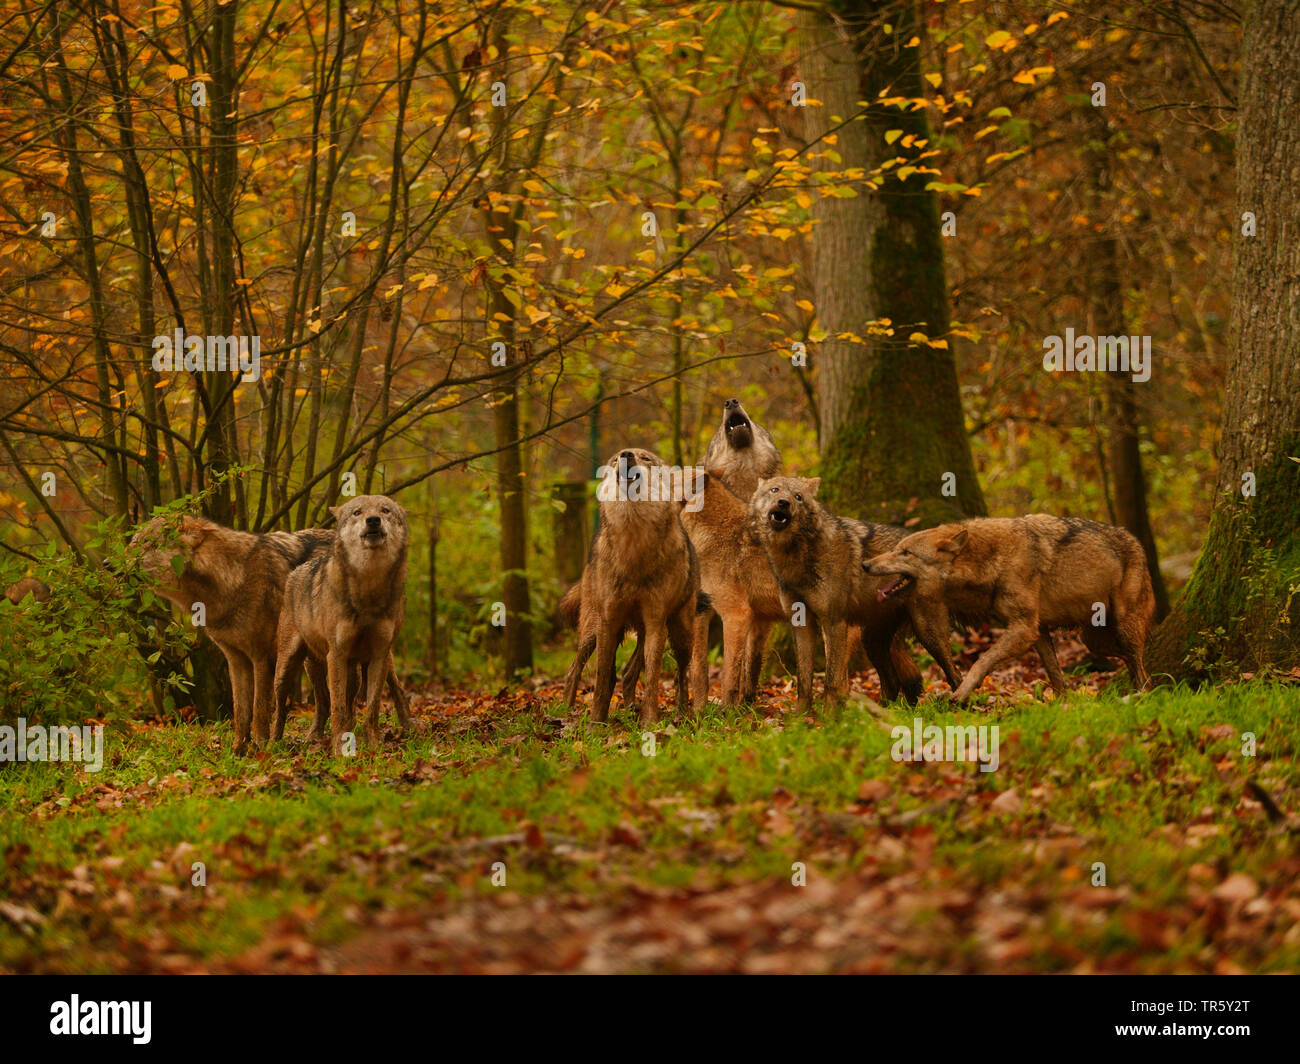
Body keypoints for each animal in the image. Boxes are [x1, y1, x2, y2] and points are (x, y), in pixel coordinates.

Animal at [272, 495, 411, 754]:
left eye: (385, 510)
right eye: (357, 512)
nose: (373, 520)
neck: (368, 588)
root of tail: (295, 571)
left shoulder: (378, 654)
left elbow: (372, 709)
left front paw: (373, 748)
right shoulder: (336, 654)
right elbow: (337, 708)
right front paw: (339, 750)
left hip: (364, 665)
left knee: (380, 693)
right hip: (291, 666)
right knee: (286, 707)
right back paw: (272, 744)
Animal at [562, 448, 699, 725]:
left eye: (646, 458)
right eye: (615, 459)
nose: (626, 455)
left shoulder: (656, 622)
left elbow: (653, 678)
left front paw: (650, 722)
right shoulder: (608, 620)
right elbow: (602, 677)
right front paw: (595, 724)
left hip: (679, 634)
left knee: (678, 674)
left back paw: (678, 713)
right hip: (591, 630)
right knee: (577, 669)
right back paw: (564, 711)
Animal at [749, 476, 922, 712]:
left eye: (798, 497)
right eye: (775, 490)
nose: (784, 502)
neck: (795, 559)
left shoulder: (834, 622)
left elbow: (832, 680)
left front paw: (829, 717)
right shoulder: (802, 623)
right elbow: (804, 679)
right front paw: (800, 716)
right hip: (873, 640)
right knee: (900, 679)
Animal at [864, 515, 1155, 702]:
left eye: (906, 553)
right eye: (895, 549)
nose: (865, 564)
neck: (992, 558)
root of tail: (1136, 542)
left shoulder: (1023, 629)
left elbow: (983, 659)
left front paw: (961, 694)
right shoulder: (1037, 631)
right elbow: (1055, 674)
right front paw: (1063, 705)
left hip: (1121, 629)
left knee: (1140, 666)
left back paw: (1142, 696)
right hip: (1093, 639)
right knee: (1134, 662)